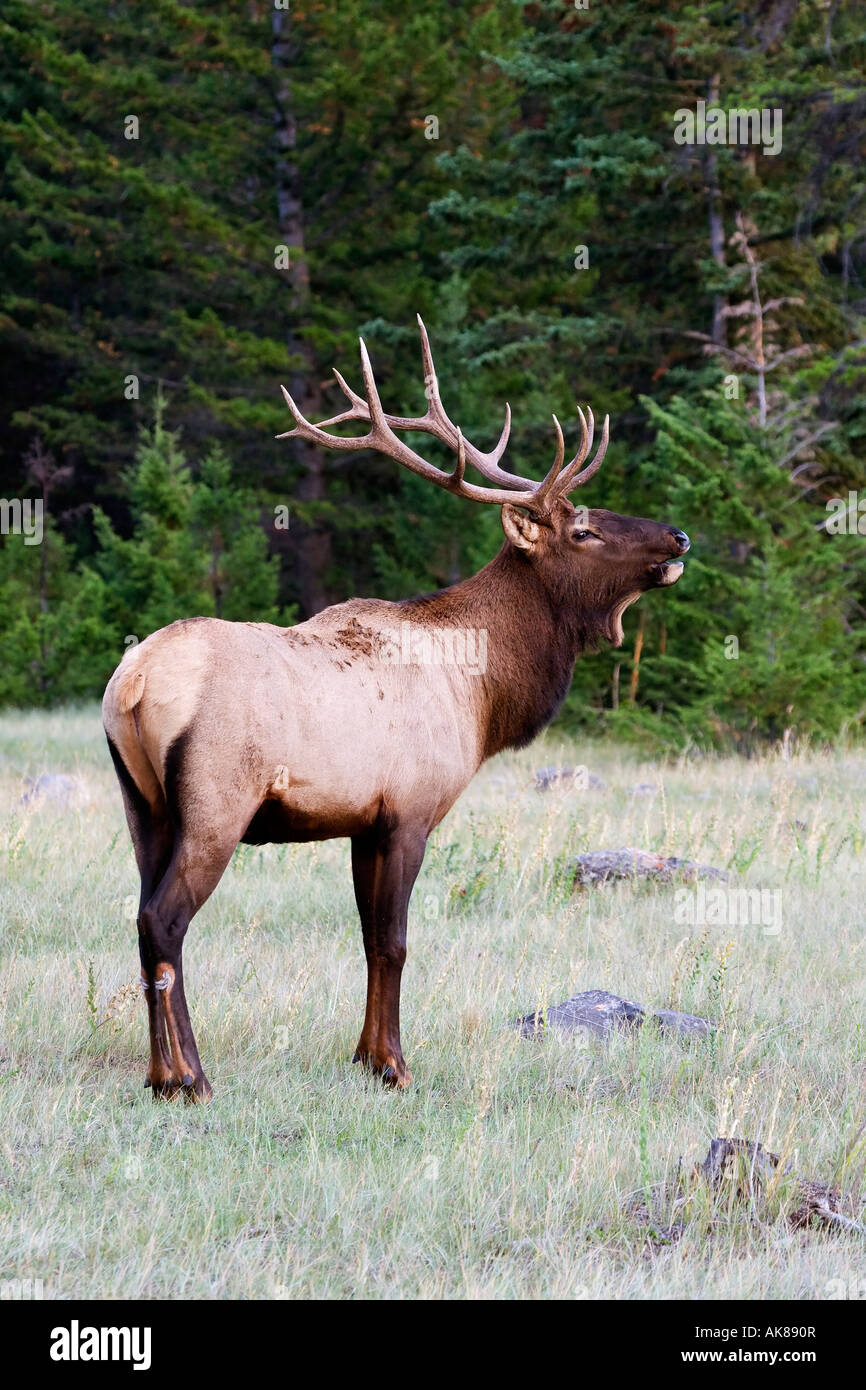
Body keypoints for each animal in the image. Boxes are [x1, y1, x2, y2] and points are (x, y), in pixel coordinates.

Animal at [103, 316, 689, 1100]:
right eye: (583, 531)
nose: (679, 536)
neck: (484, 694)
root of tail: (132, 683)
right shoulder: (410, 809)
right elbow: (396, 941)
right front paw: (395, 1065)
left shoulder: (362, 821)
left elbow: (366, 939)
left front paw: (362, 1056)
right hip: (215, 802)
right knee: (166, 922)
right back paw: (189, 1076)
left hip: (143, 805)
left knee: (141, 918)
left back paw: (156, 1073)